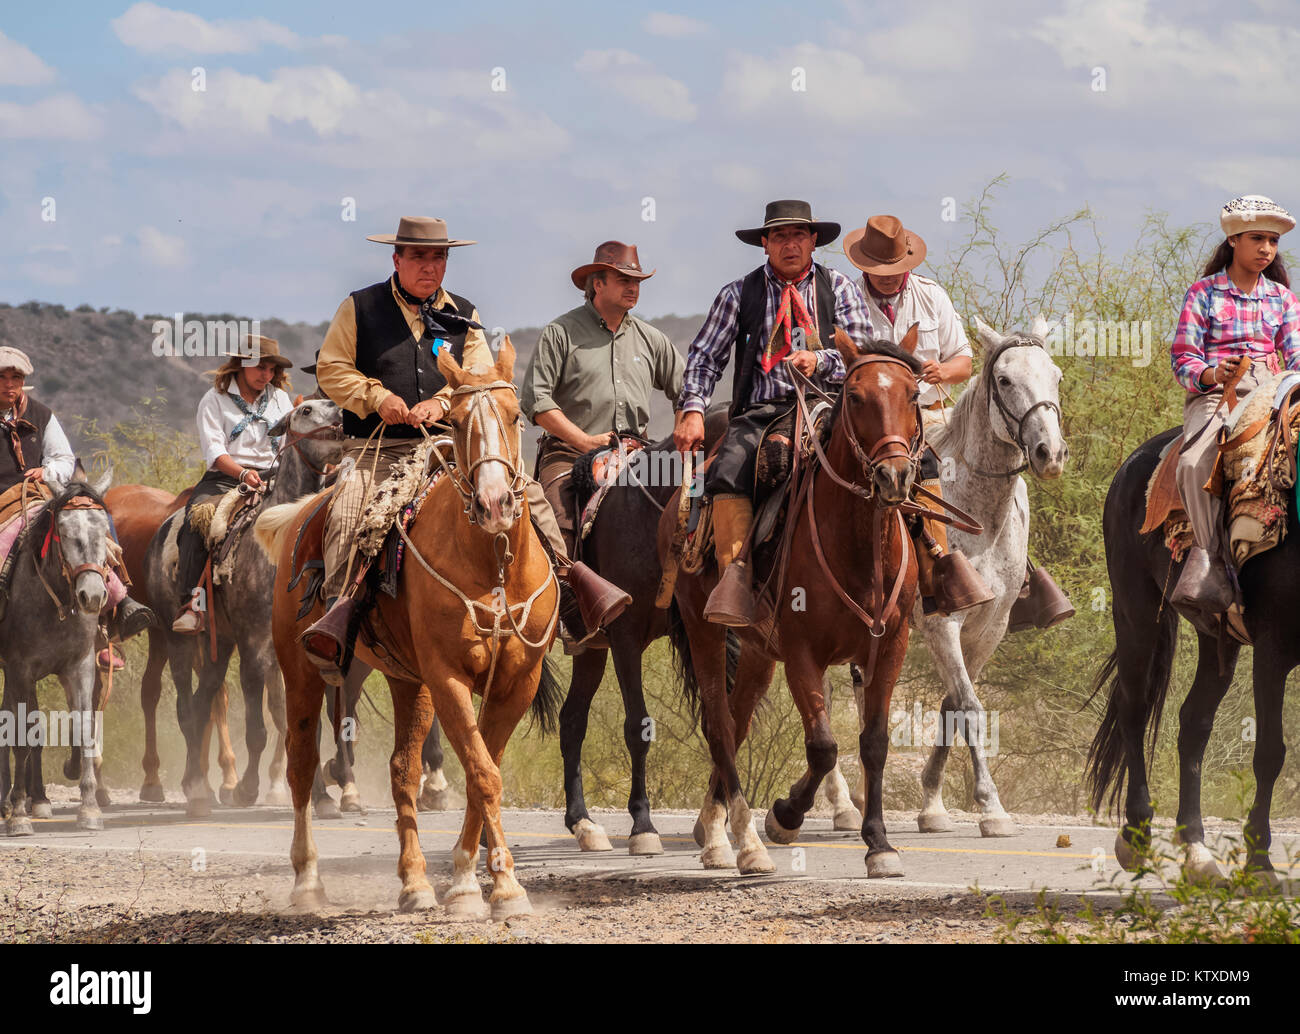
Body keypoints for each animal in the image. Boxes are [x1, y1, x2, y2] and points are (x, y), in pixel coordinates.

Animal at [0, 468, 116, 832]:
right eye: (64, 533)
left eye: (103, 529)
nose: (92, 595)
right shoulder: (21, 668)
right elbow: (23, 736)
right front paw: (19, 815)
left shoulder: (80, 666)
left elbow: (83, 729)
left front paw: (89, 808)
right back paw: (13, 803)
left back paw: (30, 799)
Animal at [260, 340, 564, 915]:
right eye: (461, 421)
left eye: (516, 416)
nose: (495, 504)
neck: (491, 564)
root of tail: (300, 517)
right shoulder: (447, 678)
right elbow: (484, 774)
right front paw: (502, 888)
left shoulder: (515, 682)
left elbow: (481, 769)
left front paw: (468, 880)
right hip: (302, 672)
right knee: (302, 765)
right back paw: (307, 880)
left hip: (407, 681)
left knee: (402, 770)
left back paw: (415, 883)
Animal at [665, 329, 930, 874]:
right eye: (856, 397)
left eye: (913, 394)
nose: (893, 476)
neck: (859, 547)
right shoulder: (802, 653)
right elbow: (824, 746)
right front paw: (785, 815)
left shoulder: (889, 647)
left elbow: (873, 743)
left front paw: (880, 844)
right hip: (704, 630)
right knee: (719, 727)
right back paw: (742, 844)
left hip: (757, 653)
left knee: (737, 723)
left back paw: (714, 829)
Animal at [1092, 424, 1294, 884]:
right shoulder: (1272, 649)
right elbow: (1270, 752)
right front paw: (1259, 862)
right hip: (1135, 612)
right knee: (1134, 711)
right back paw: (1137, 834)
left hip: (1217, 638)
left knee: (1193, 723)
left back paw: (1197, 850)